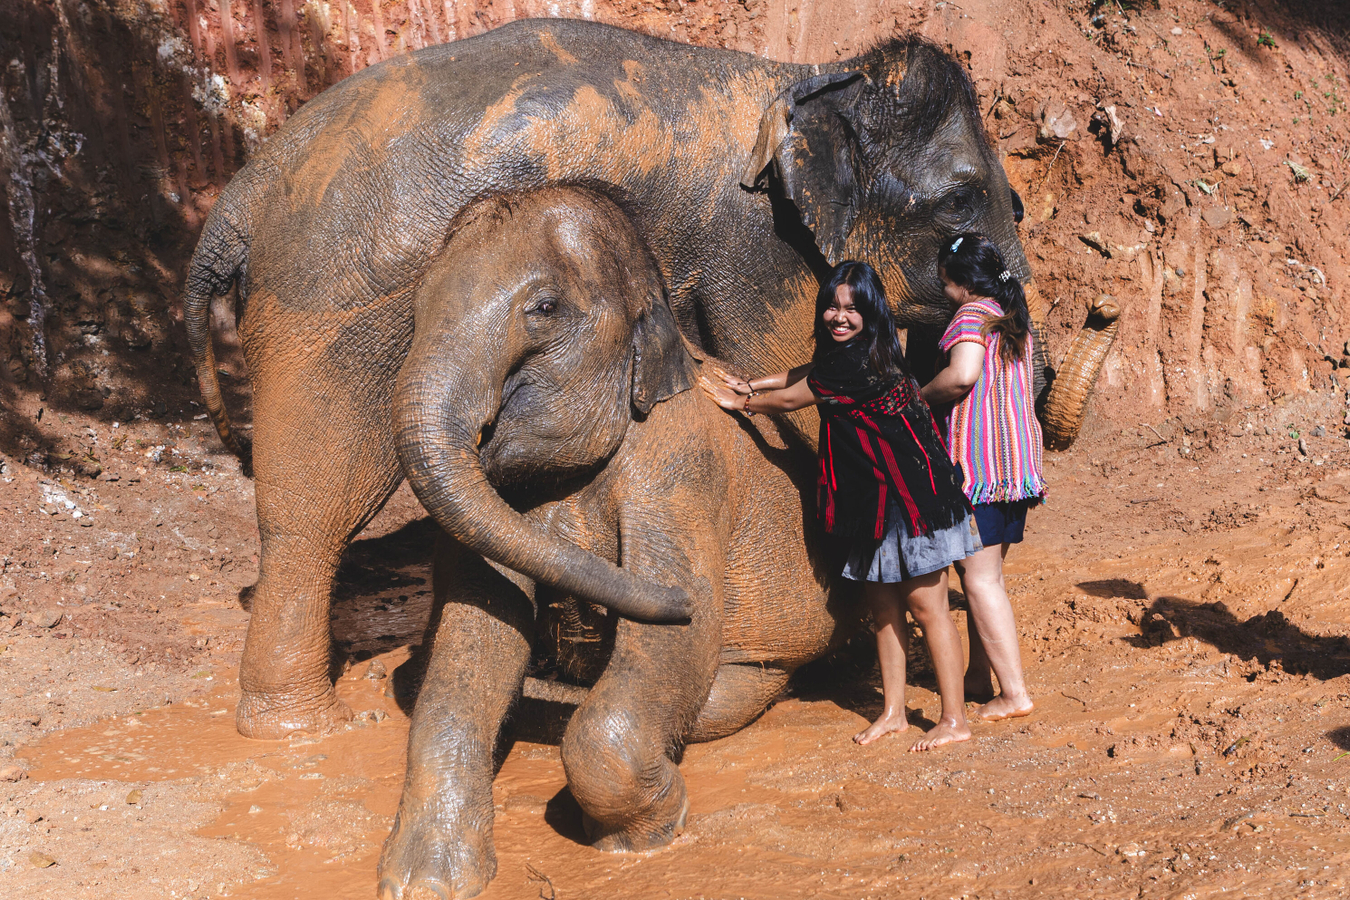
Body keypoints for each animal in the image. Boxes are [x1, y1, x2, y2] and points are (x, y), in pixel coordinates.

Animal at [183, 18, 1111, 738]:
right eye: (960, 202)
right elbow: (810, 403)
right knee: (313, 514)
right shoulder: (762, 255)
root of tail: (244, 190)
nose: (1096, 317)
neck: (818, 81)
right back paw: (306, 726)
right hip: (332, 310)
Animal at [379, 185, 851, 898]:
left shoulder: (680, 465)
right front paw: (424, 878)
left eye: (544, 310)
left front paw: (646, 838)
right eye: (415, 306)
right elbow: (476, 633)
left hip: (766, 664)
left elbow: (677, 640)